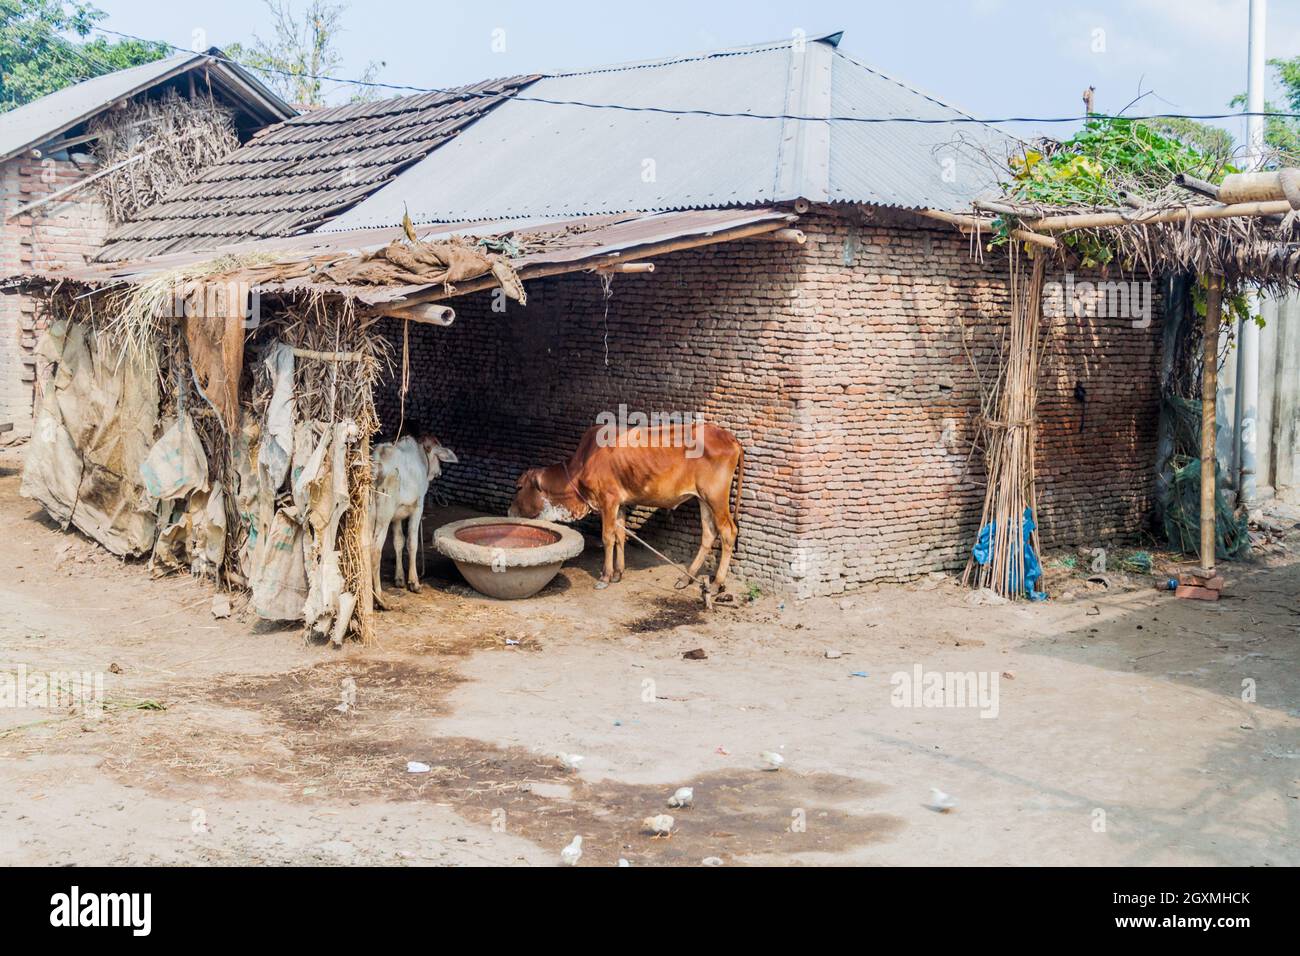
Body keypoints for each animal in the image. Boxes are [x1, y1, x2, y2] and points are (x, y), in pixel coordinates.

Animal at [370, 434, 457, 600]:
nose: (439, 472)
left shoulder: (397, 515)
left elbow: (399, 542)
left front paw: (399, 579)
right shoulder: (418, 508)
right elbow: (412, 543)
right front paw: (414, 582)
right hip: (383, 517)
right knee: (375, 549)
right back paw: (379, 596)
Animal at [508, 422, 743, 592]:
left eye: (519, 486)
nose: (510, 512)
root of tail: (730, 437)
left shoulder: (608, 500)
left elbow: (607, 537)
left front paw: (605, 576)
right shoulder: (619, 503)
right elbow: (620, 536)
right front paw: (618, 573)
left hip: (715, 497)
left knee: (728, 532)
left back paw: (715, 584)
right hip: (703, 499)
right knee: (709, 533)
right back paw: (686, 579)